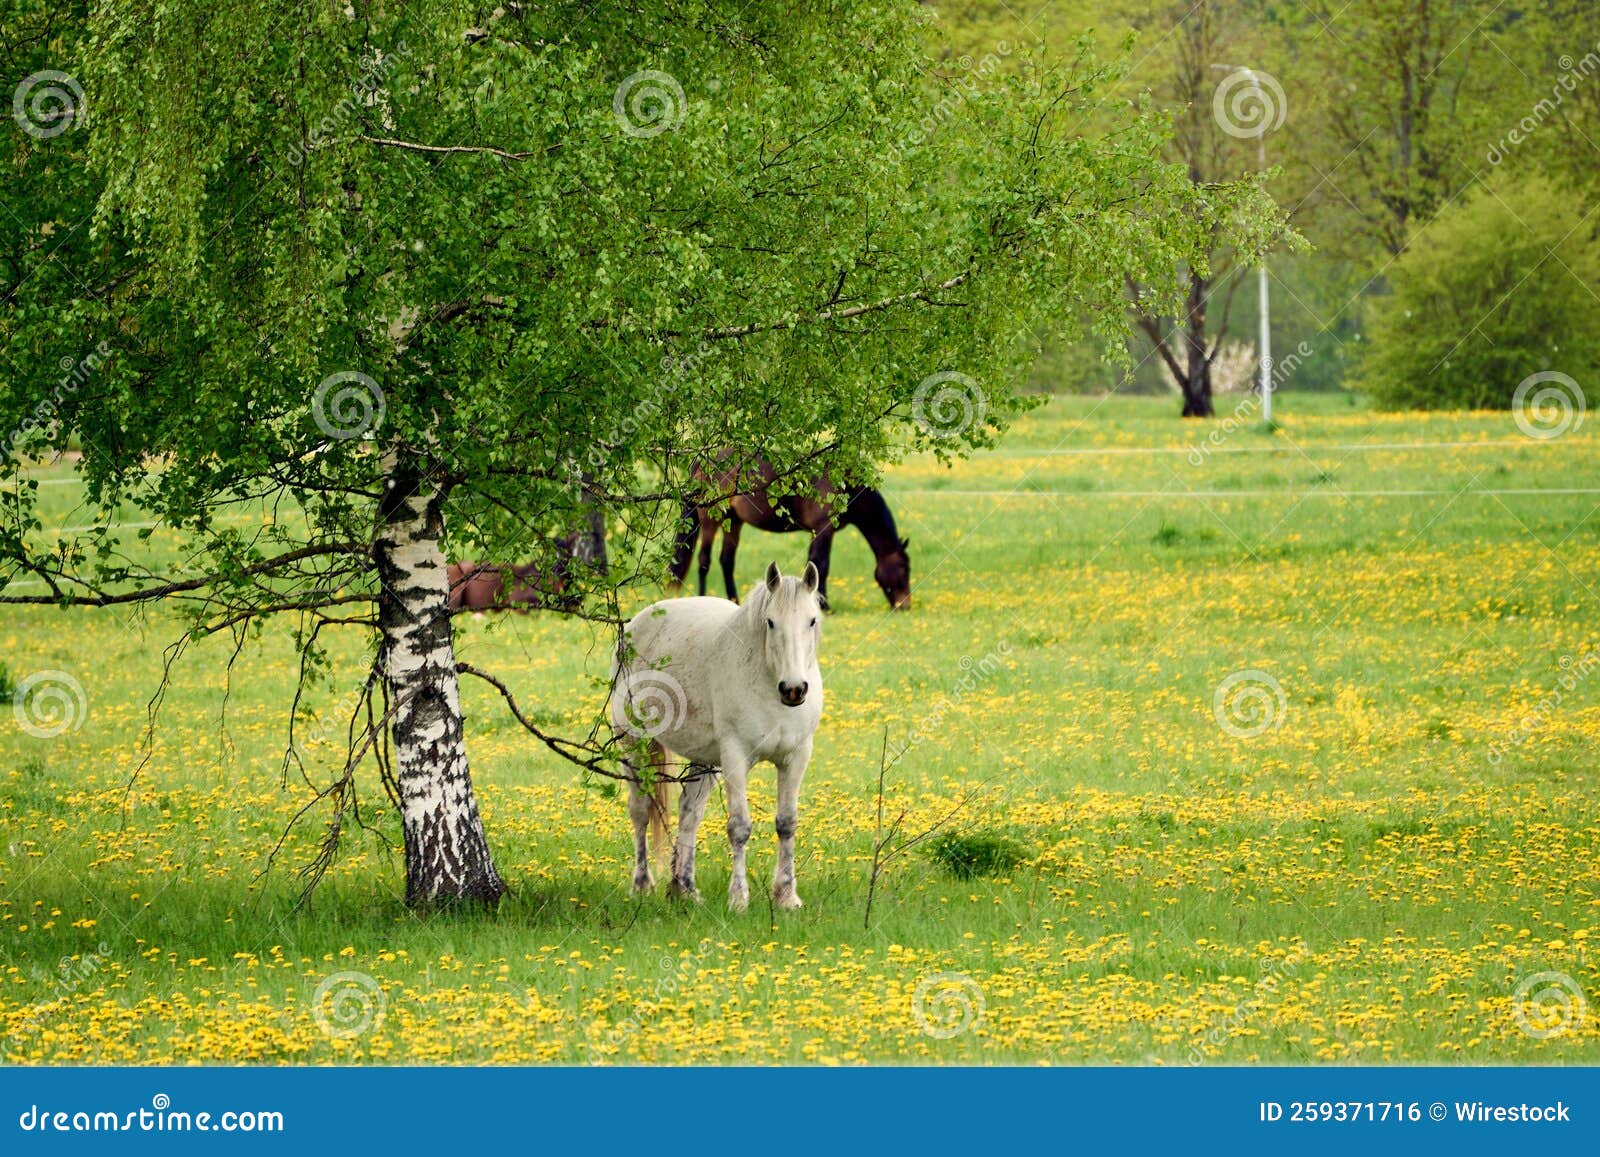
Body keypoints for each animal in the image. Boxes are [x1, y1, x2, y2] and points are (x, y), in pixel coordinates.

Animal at [610, 561, 824, 911]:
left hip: (705, 760)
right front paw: (738, 898)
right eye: (770, 622)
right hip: (634, 745)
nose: (794, 689)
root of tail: (638, 622)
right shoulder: (735, 757)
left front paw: (786, 896)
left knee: (689, 813)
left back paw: (684, 888)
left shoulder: (796, 757)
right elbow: (739, 828)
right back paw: (643, 885)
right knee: (641, 811)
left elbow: (787, 823)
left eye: (812, 620)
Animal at [669, 458, 910, 610]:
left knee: (726, 561)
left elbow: (814, 565)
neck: (844, 484)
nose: (905, 605)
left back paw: (734, 601)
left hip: (733, 521)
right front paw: (825, 606)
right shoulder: (823, 529)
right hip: (711, 519)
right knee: (704, 561)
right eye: (903, 568)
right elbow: (822, 565)